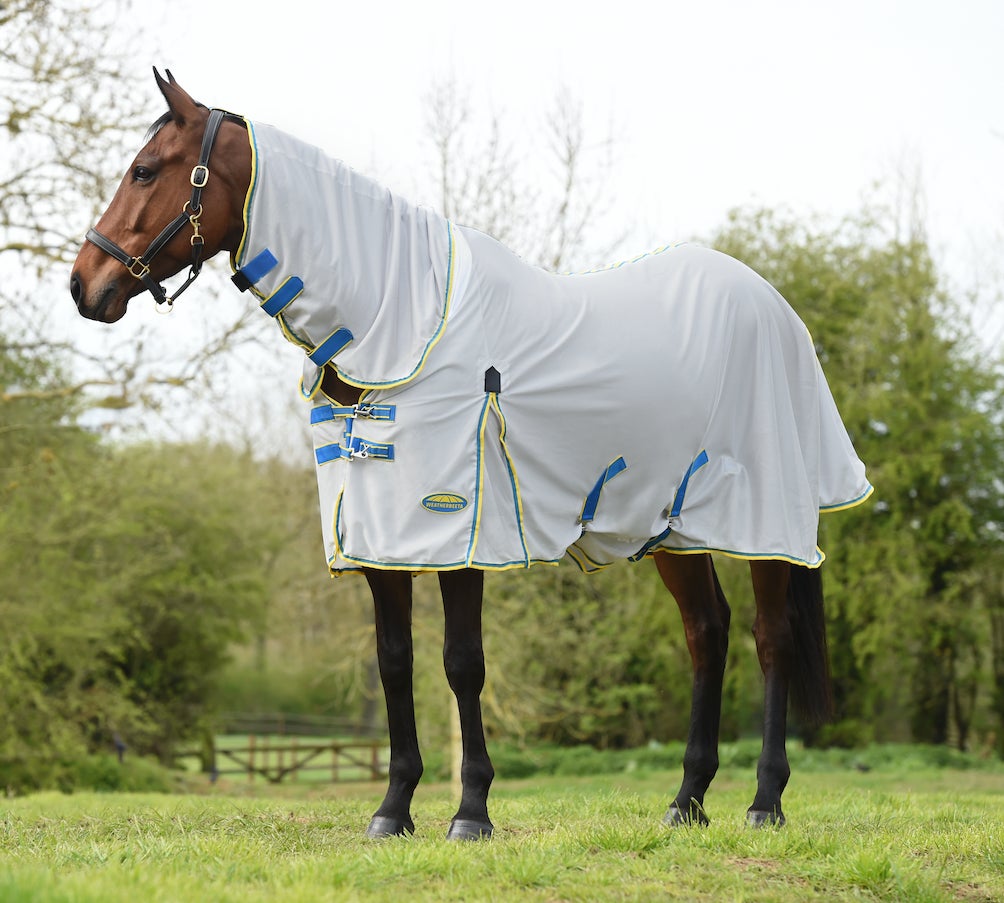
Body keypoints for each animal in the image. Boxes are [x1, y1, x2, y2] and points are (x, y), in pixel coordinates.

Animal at [70, 70, 871, 839]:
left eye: (144, 170)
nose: (85, 285)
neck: (396, 320)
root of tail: (774, 306)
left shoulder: (459, 533)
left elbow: (462, 664)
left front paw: (471, 812)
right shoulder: (380, 538)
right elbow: (394, 663)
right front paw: (393, 809)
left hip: (763, 519)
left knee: (772, 640)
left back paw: (765, 801)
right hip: (673, 523)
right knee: (707, 634)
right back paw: (687, 802)